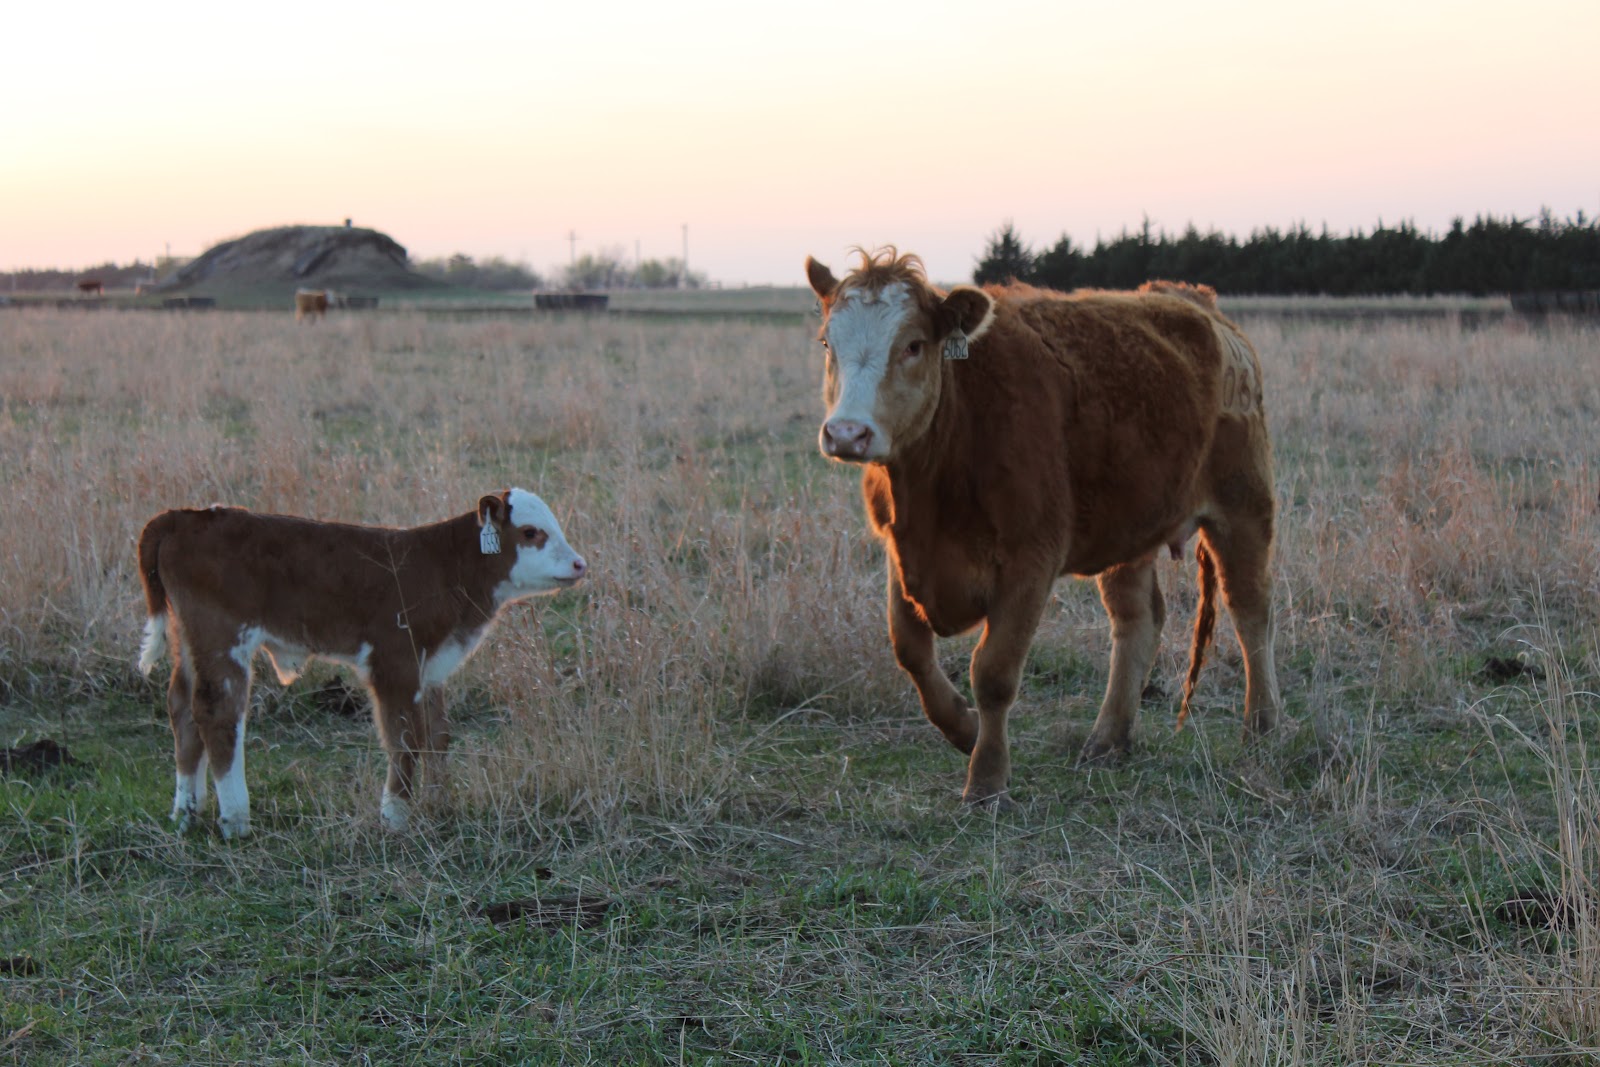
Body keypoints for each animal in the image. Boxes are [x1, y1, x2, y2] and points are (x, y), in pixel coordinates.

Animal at [136, 489, 588, 837]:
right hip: (222, 637)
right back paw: (235, 818)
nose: (579, 563)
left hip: (188, 637)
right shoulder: (394, 663)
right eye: (530, 532)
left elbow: (438, 736)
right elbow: (404, 739)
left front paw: (439, 805)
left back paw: (186, 813)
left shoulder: (431, 667)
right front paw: (395, 817)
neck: (443, 566)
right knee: (218, 711)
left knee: (182, 706)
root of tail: (185, 516)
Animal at [805, 248, 1280, 805]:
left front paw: (987, 777)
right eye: (827, 343)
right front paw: (964, 728)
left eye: (914, 345)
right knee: (1137, 619)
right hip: (1130, 527)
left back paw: (1261, 726)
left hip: (1243, 503)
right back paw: (1108, 738)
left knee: (1250, 610)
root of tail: (1194, 300)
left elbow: (993, 672)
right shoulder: (901, 552)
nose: (847, 433)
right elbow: (911, 652)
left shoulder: (1030, 558)